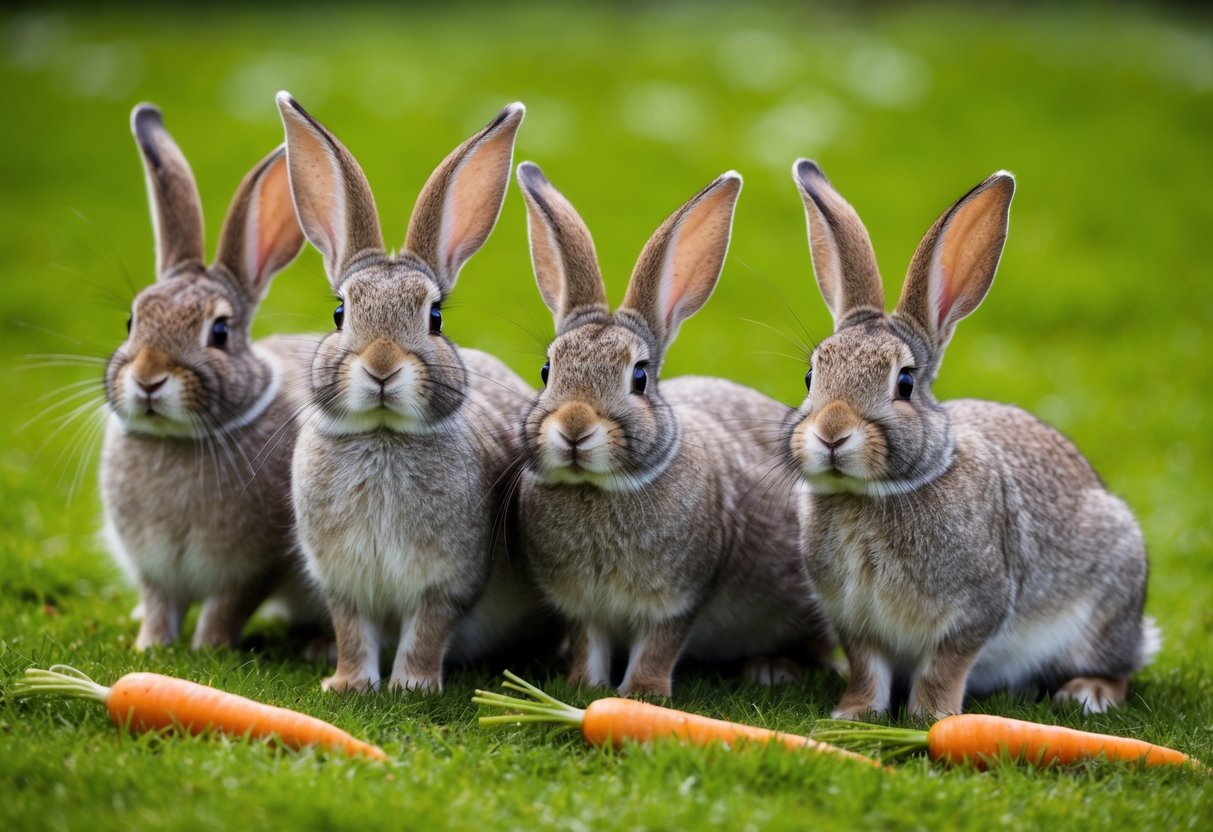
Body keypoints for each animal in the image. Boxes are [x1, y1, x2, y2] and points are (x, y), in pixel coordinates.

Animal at [102, 104, 324, 651]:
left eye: (219, 332)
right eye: (131, 321)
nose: (149, 378)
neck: (176, 440)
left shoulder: (254, 569)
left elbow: (226, 608)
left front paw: (208, 649)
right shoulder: (154, 569)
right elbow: (159, 603)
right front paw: (150, 645)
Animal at [276, 92, 537, 693]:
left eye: (435, 317)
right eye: (340, 312)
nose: (381, 367)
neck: (383, 435)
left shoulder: (448, 583)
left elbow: (427, 631)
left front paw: (411, 685)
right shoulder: (342, 583)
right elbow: (353, 629)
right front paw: (348, 683)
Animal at [513, 162, 836, 698]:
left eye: (639, 378)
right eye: (546, 371)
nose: (574, 428)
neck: (598, 488)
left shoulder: (680, 599)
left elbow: (659, 645)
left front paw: (641, 694)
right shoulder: (582, 606)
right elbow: (588, 642)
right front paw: (583, 686)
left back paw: (771, 669)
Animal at [784, 159, 1158, 718]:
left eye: (905, 383)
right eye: (811, 377)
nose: (831, 434)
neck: (874, 494)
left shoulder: (977, 608)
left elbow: (945, 664)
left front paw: (930, 716)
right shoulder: (856, 623)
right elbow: (868, 668)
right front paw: (854, 713)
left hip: (1108, 600)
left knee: (1120, 668)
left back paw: (1087, 693)